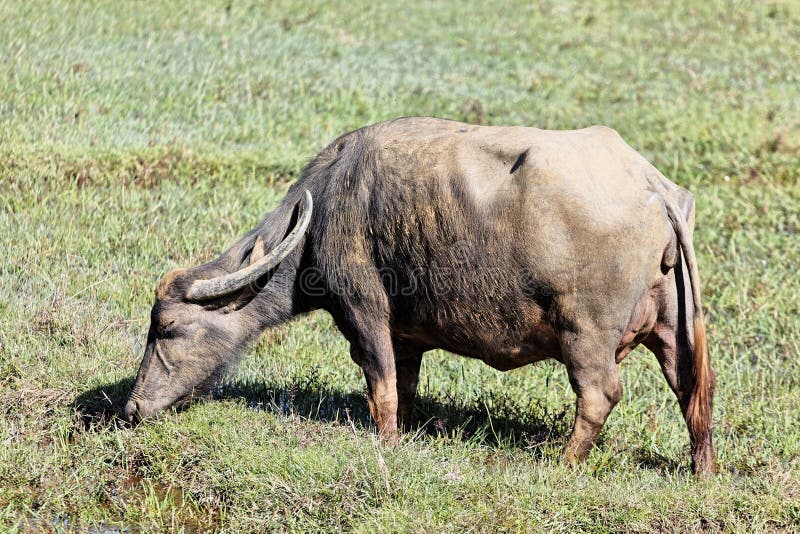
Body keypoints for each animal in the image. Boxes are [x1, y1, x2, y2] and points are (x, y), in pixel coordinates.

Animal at [126, 117, 715, 474]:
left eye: (167, 329)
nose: (132, 408)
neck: (319, 219)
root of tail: (653, 188)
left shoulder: (363, 313)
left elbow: (381, 388)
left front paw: (385, 446)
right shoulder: (406, 337)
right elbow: (404, 388)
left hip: (584, 334)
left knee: (600, 394)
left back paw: (563, 463)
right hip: (672, 324)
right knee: (693, 391)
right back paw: (700, 470)